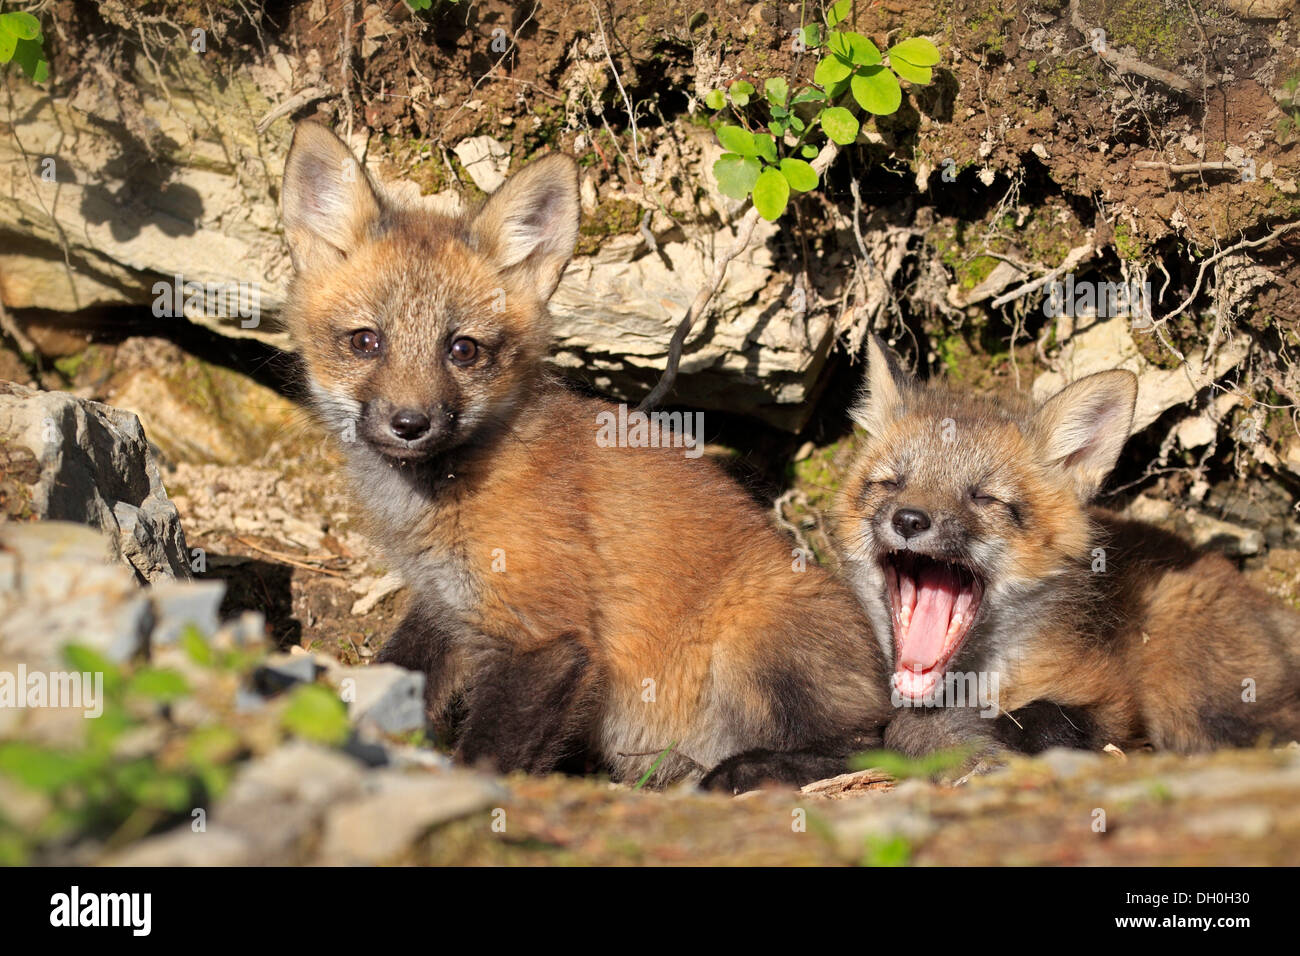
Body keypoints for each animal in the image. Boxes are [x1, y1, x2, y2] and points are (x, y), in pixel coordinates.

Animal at [278, 120, 892, 790]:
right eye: (366, 342)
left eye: (463, 350)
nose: (410, 424)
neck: (443, 498)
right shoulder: (445, 607)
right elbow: (388, 679)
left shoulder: (545, 635)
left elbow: (487, 752)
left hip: (754, 641)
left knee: (873, 745)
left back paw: (749, 770)